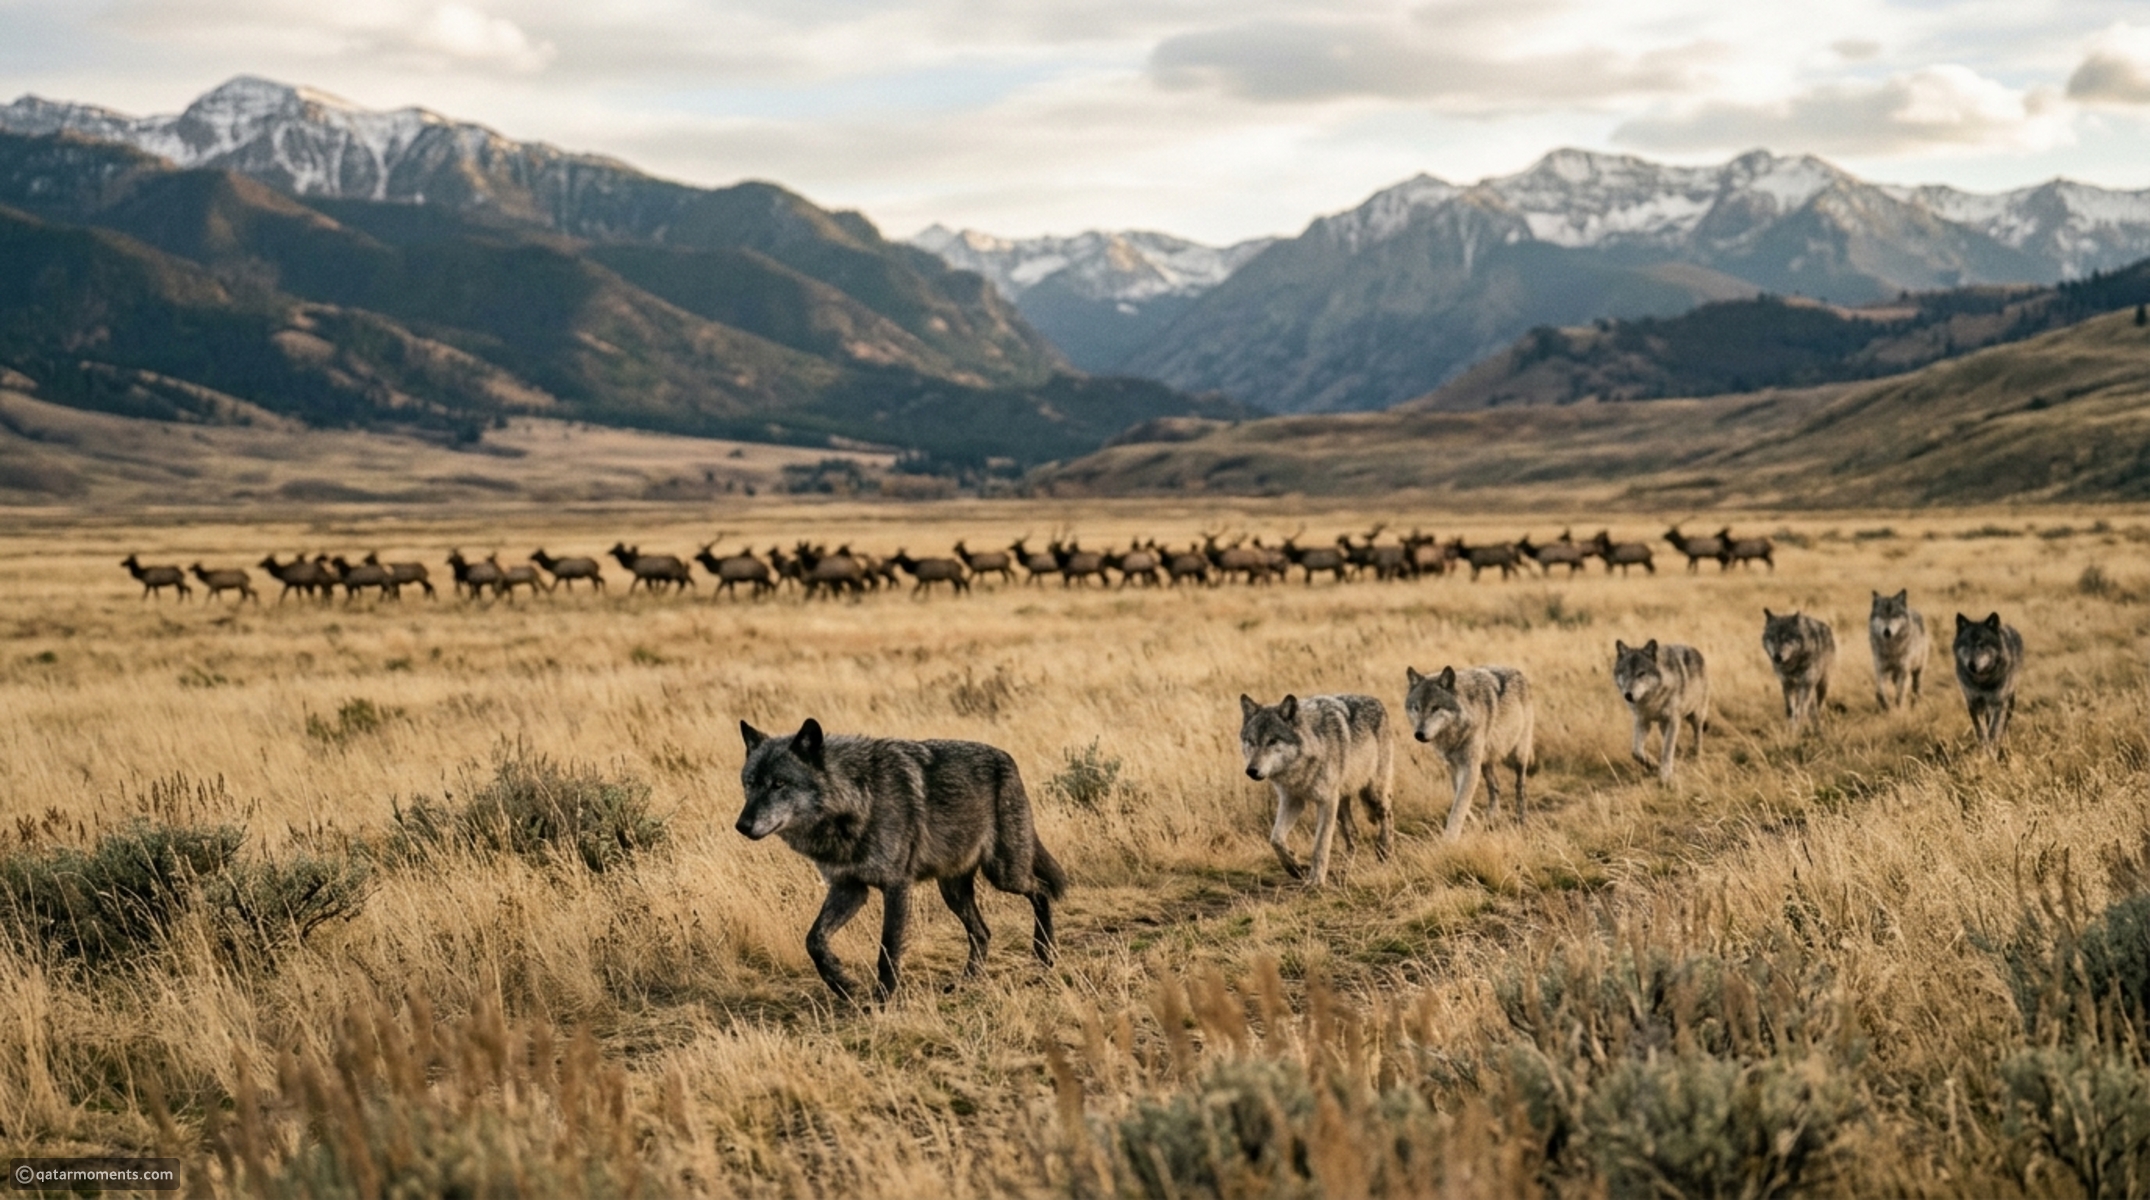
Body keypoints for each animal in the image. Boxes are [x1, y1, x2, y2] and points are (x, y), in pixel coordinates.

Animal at [735, 719, 1067, 1002]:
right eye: (749, 784)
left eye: (779, 784)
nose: (742, 825)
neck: (859, 799)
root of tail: (1008, 759)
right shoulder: (849, 888)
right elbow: (814, 941)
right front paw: (843, 986)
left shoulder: (896, 886)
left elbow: (888, 949)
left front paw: (883, 1000)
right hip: (953, 892)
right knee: (982, 932)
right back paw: (967, 981)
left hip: (1004, 873)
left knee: (1041, 892)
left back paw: (1045, 955)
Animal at [1238, 694, 1394, 886]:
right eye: (1251, 741)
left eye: (1272, 741)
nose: (1251, 770)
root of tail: (1376, 701)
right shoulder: (1292, 800)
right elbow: (1276, 839)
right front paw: (1296, 869)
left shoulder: (1326, 802)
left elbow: (1320, 845)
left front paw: (1316, 881)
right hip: (1341, 804)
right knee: (1353, 834)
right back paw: (1345, 872)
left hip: (1372, 793)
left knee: (1387, 814)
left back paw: (1384, 850)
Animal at [1404, 666, 1535, 838]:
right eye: (1416, 707)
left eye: (1435, 708)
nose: (1419, 734)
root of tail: (1518, 672)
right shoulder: (1453, 766)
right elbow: (1458, 796)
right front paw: (1474, 823)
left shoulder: (1470, 766)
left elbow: (1459, 804)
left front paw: (1449, 840)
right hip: (1486, 762)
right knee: (1495, 787)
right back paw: (1492, 818)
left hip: (1518, 756)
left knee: (1520, 787)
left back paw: (1522, 818)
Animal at [1612, 640, 1709, 783]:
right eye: (1624, 673)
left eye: (1641, 673)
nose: (1628, 695)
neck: (1651, 702)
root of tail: (1694, 650)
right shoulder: (1642, 721)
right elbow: (1636, 752)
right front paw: (1651, 765)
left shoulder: (1673, 721)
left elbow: (1667, 750)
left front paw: (1664, 776)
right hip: (1662, 725)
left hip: (1696, 716)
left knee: (1698, 735)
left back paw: (1696, 755)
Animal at [1953, 613, 2024, 757]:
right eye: (1966, 644)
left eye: (1982, 644)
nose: (1971, 665)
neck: (1982, 680)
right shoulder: (1973, 703)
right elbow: (1980, 730)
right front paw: (1984, 750)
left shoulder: (1998, 703)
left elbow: (1993, 730)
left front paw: (1992, 752)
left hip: (2010, 701)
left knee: (2004, 725)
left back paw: (2003, 744)